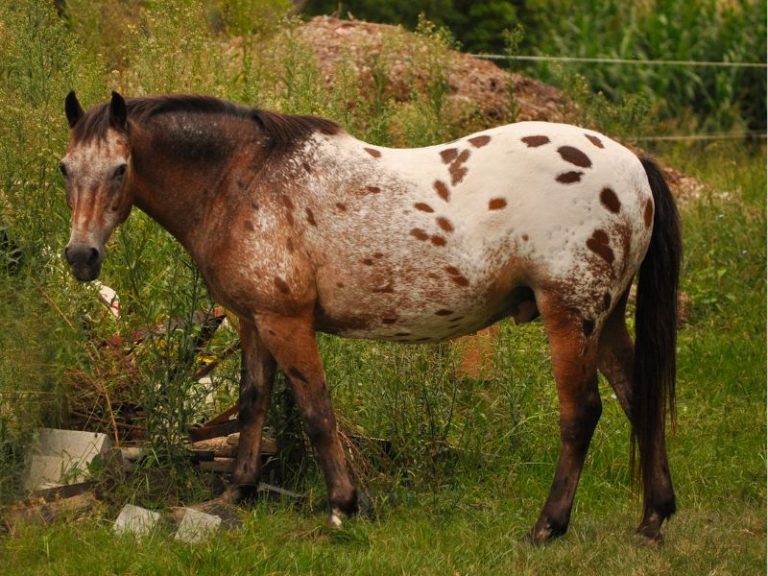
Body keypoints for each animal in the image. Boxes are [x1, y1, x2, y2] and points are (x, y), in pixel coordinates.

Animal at [60, 91, 681, 544]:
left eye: (120, 169)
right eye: (66, 168)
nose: (80, 256)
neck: (245, 179)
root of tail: (632, 163)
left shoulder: (286, 321)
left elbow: (316, 412)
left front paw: (343, 506)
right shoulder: (252, 320)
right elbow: (252, 403)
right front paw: (236, 494)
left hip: (570, 315)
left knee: (582, 414)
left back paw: (548, 526)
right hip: (605, 321)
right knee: (638, 398)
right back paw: (653, 519)